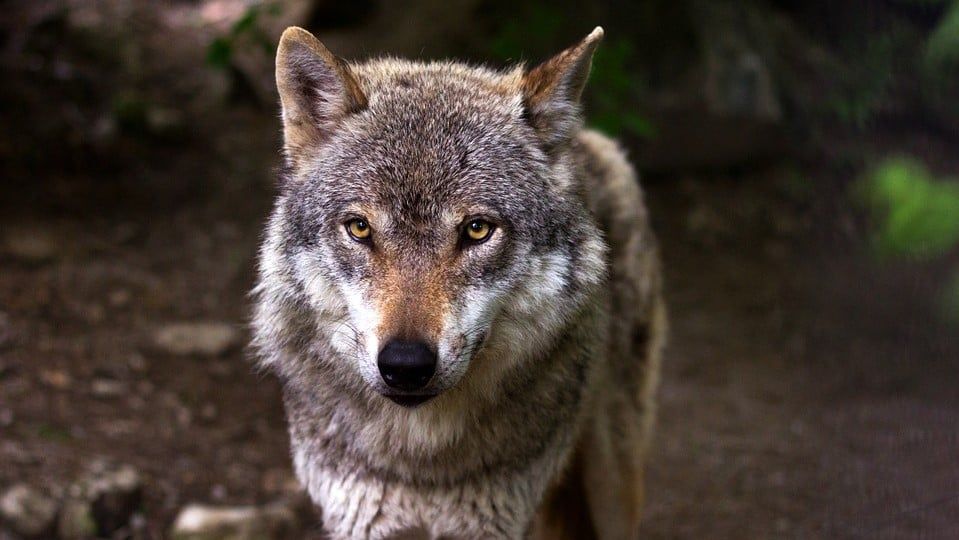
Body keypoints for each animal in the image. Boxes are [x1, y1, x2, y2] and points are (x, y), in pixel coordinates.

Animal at [251, 25, 666, 540]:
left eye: (477, 230)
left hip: (612, 484)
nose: (406, 364)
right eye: (360, 228)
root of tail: (587, 140)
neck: (424, 463)